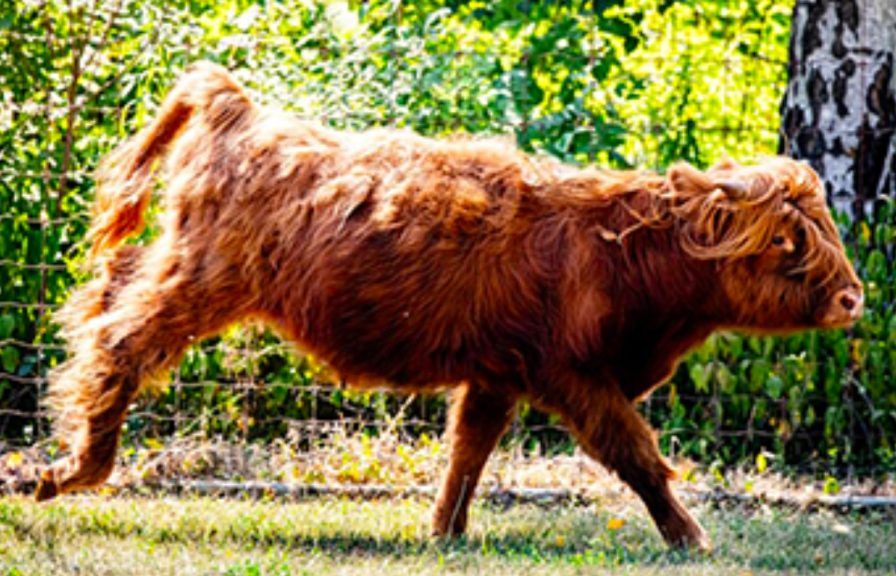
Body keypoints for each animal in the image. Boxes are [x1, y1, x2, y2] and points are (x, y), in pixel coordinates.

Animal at [36, 62, 863, 550]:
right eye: (787, 241)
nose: (854, 298)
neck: (628, 262)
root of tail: (246, 112)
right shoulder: (574, 374)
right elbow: (636, 455)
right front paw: (691, 538)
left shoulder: (498, 370)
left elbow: (469, 451)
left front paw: (444, 533)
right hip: (201, 280)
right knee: (118, 340)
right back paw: (70, 471)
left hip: (178, 265)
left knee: (105, 297)